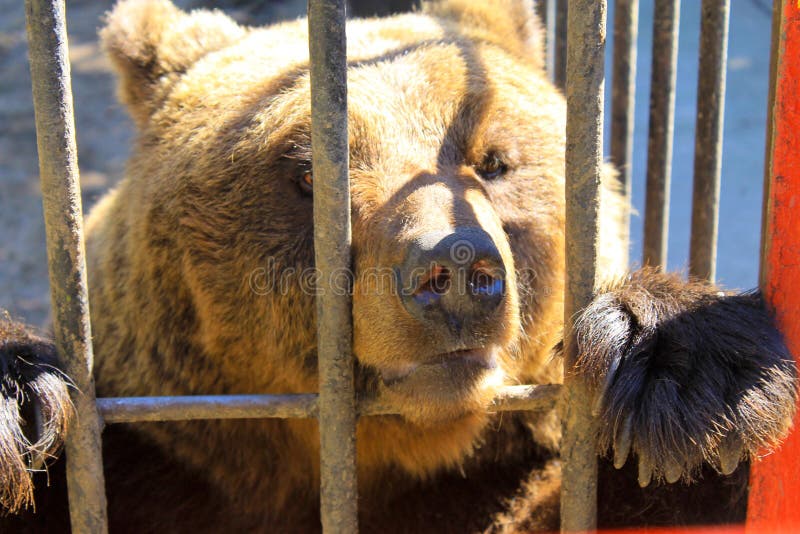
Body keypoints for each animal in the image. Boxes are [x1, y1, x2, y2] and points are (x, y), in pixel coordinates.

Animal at [0, 0, 796, 531]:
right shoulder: (164, 468)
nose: (456, 265)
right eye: (308, 172)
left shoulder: (485, 484)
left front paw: (687, 367)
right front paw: (18, 391)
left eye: (492, 160)